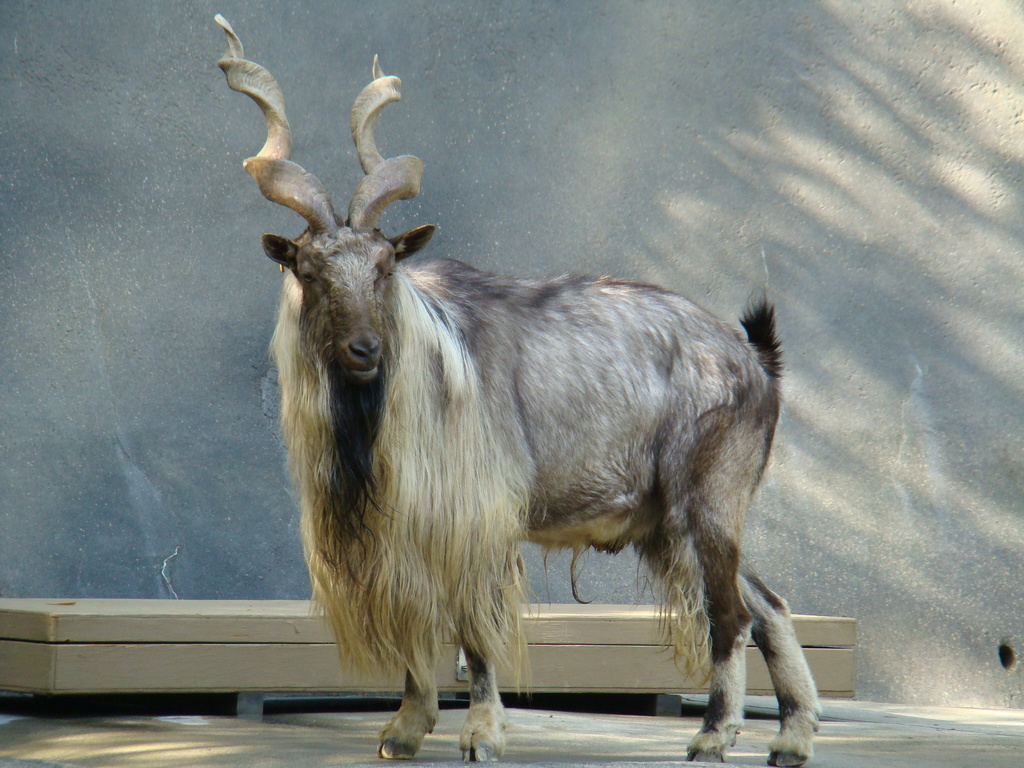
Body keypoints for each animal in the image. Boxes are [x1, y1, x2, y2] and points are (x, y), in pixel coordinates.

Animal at [215, 15, 821, 766]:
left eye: (385, 266)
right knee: (770, 605)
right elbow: (421, 629)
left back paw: (713, 734)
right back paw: (792, 737)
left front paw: (480, 734)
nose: (365, 351)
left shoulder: (478, 520)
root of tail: (757, 362)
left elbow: (474, 632)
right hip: (686, 517)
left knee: (732, 614)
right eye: (310, 269)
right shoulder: (408, 535)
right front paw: (404, 729)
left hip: (706, 500)